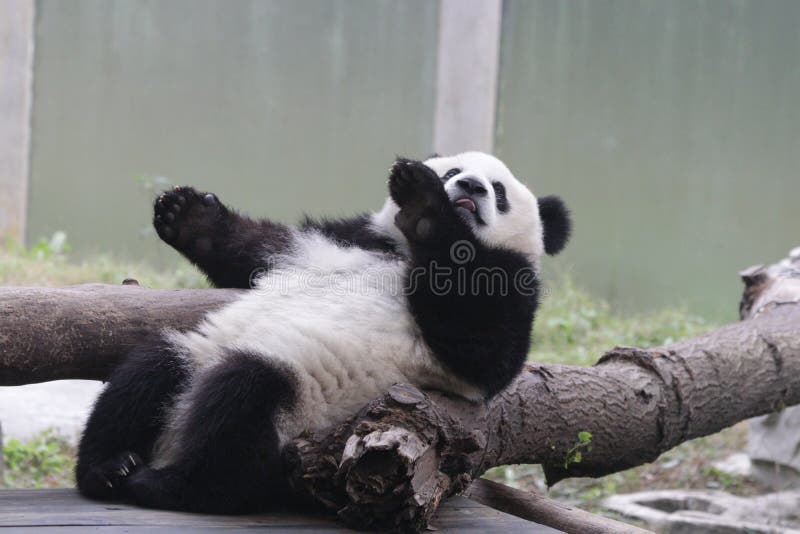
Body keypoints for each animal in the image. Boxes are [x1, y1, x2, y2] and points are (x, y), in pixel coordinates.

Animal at [76, 152, 571, 514]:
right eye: (452, 171)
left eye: (499, 192)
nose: (469, 187)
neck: (407, 250)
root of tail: (169, 444)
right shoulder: (345, 239)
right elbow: (256, 252)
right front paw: (187, 215)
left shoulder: (507, 286)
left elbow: (483, 347)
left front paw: (426, 208)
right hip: (199, 352)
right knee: (152, 367)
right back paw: (108, 468)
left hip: (306, 407)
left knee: (244, 398)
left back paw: (169, 484)